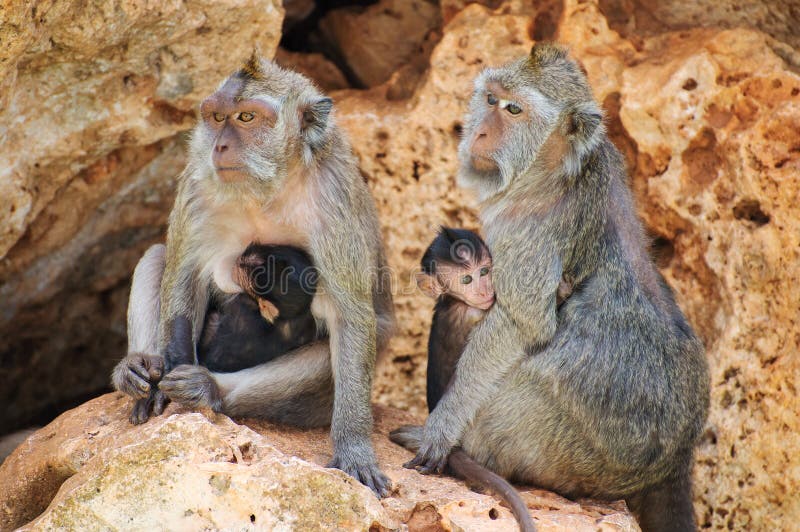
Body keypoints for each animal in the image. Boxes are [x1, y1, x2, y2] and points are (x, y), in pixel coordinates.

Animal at [112, 55, 395, 496]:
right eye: (216, 117)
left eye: (247, 117)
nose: (220, 145)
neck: (267, 188)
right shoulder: (196, 182)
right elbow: (184, 273)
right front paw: (158, 372)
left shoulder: (332, 199)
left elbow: (350, 316)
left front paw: (354, 447)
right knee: (158, 256)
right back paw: (141, 369)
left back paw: (208, 388)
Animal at [392, 44, 710, 532]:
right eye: (490, 99)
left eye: (514, 109)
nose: (479, 132)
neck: (554, 169)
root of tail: (676, 460)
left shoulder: (527, 228)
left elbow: (520, 323)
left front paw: (440, 429)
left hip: (554, 445)